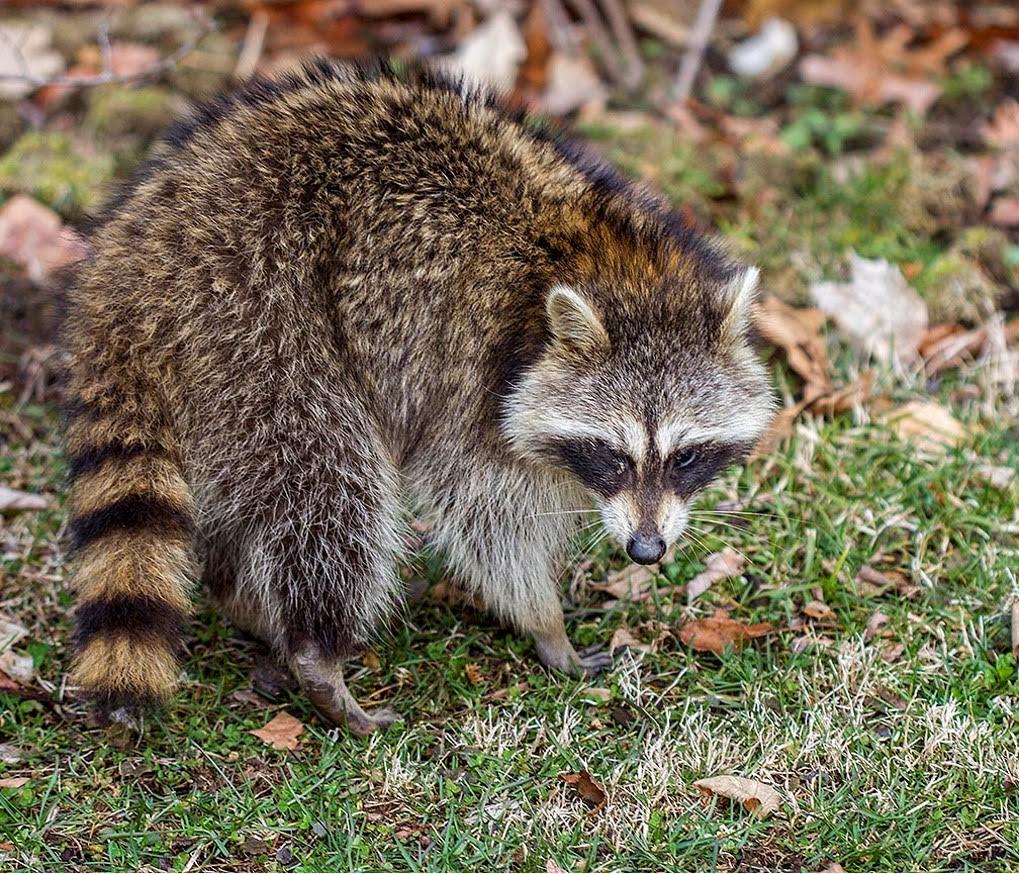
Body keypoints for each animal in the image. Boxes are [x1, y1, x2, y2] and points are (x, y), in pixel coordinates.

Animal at [63, 61, 774, 734]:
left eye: (685, 456)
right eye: (614, 453)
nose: (646, 551)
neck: (613, 266)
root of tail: (123, 274)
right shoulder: (466, 375)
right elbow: (482, 513)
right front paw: (545, 626)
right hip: (260, 322)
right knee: (325, 483)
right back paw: (316, 652)